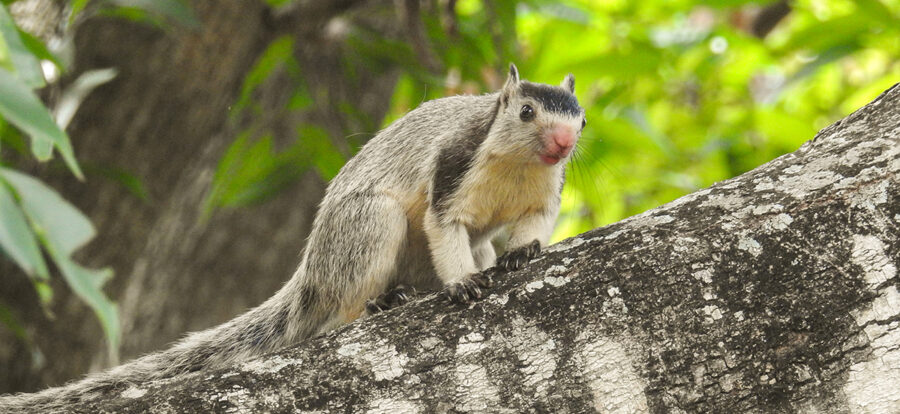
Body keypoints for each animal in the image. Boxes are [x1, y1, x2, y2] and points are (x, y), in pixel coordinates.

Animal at [0, 63, 584, 410]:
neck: (519, 165)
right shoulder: (453, 170)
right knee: (342, 308)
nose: (562, 144)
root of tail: (312, 275)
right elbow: (445, 226)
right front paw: (462, 284)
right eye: (526, 111)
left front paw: (522, 254)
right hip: (368, 228)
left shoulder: (545, 193)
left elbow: (531, 224)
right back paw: (378, 304)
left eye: (578, 121)